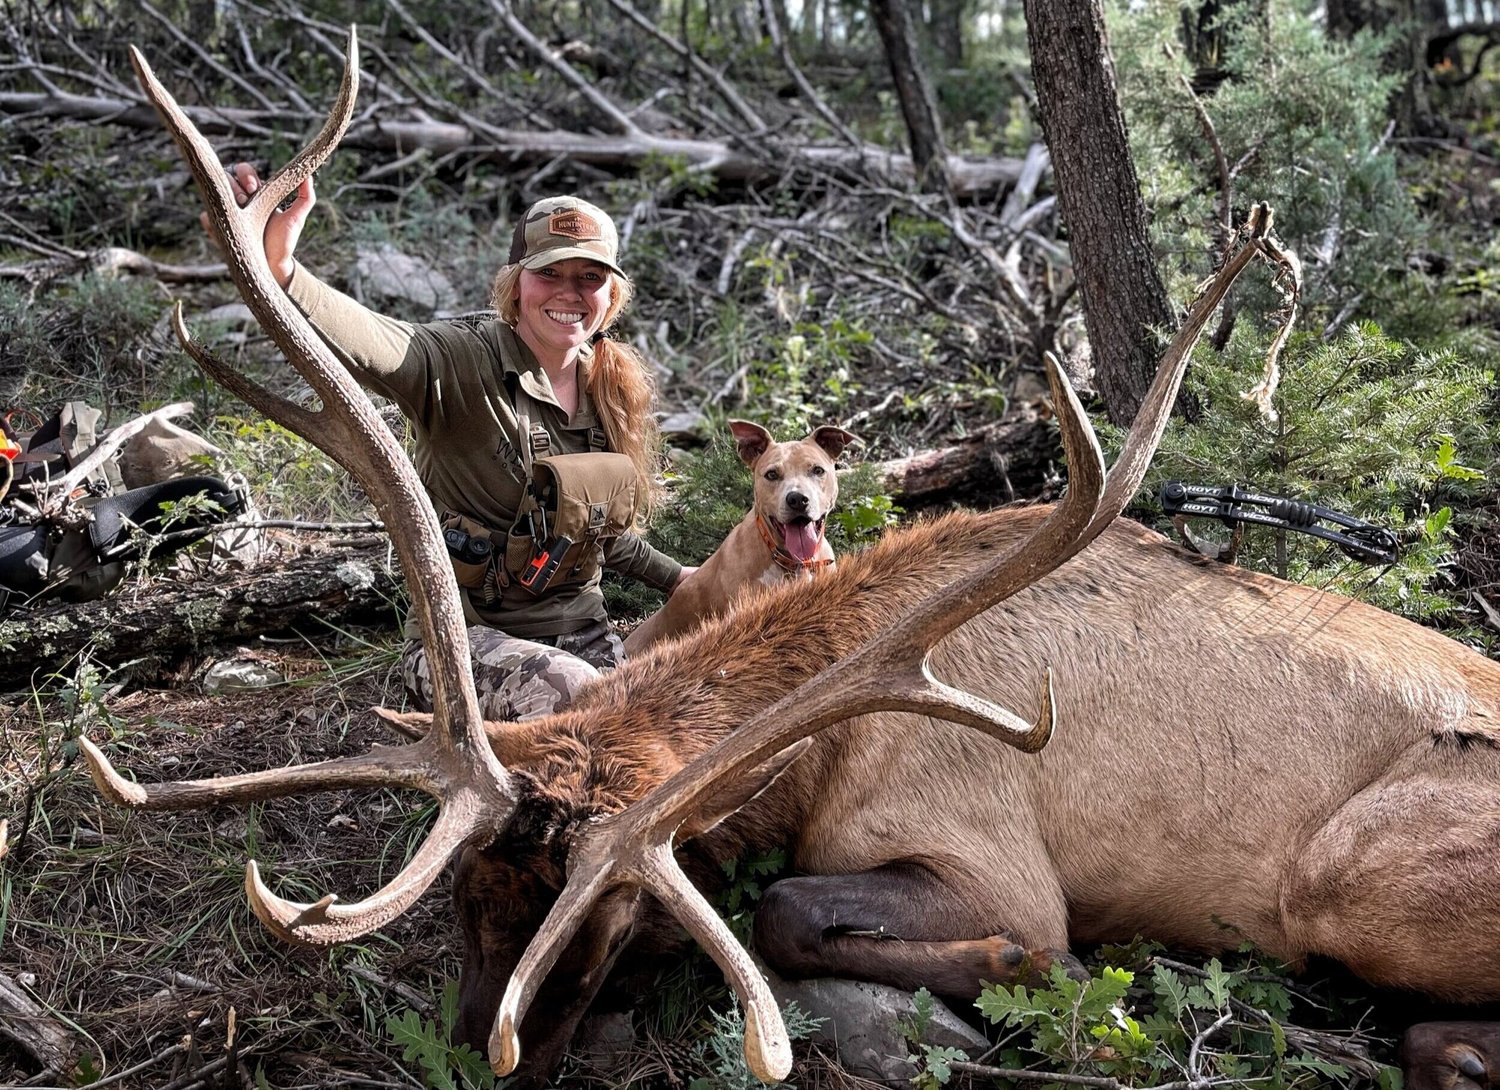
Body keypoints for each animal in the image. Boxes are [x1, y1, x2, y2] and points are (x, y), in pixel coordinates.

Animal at [80, 29, 1500, 1090]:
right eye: (467, 892)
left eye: (614, 917)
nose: (477, 1054)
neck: (822, 743)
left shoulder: (992, 857)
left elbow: (802, 913)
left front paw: (1034, 972)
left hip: (1340, 872)